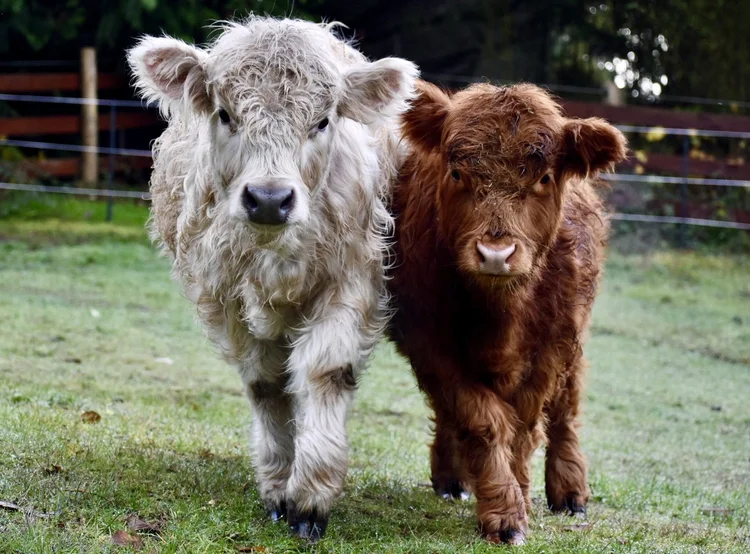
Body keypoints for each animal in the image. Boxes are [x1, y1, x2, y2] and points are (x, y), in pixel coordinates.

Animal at [127, 17, 418, 540]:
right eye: (225, 114)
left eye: (322, 121)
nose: (268, 198)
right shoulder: (225, 300)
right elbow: (264, 384)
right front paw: (279, 484)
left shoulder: (352, 282)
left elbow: (326, 372)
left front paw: (311, 497)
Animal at [387, 81, 627, 545]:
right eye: (456, 172)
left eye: (544, 177)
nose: (495, 254)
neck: (502, 316)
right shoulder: (431, 345)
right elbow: (482, 420)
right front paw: (504, 510)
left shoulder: (550, 350)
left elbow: (525, 427)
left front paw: (520, 493)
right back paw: (452, 478)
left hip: (575, 341)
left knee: (567, 410)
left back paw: (570, 491)